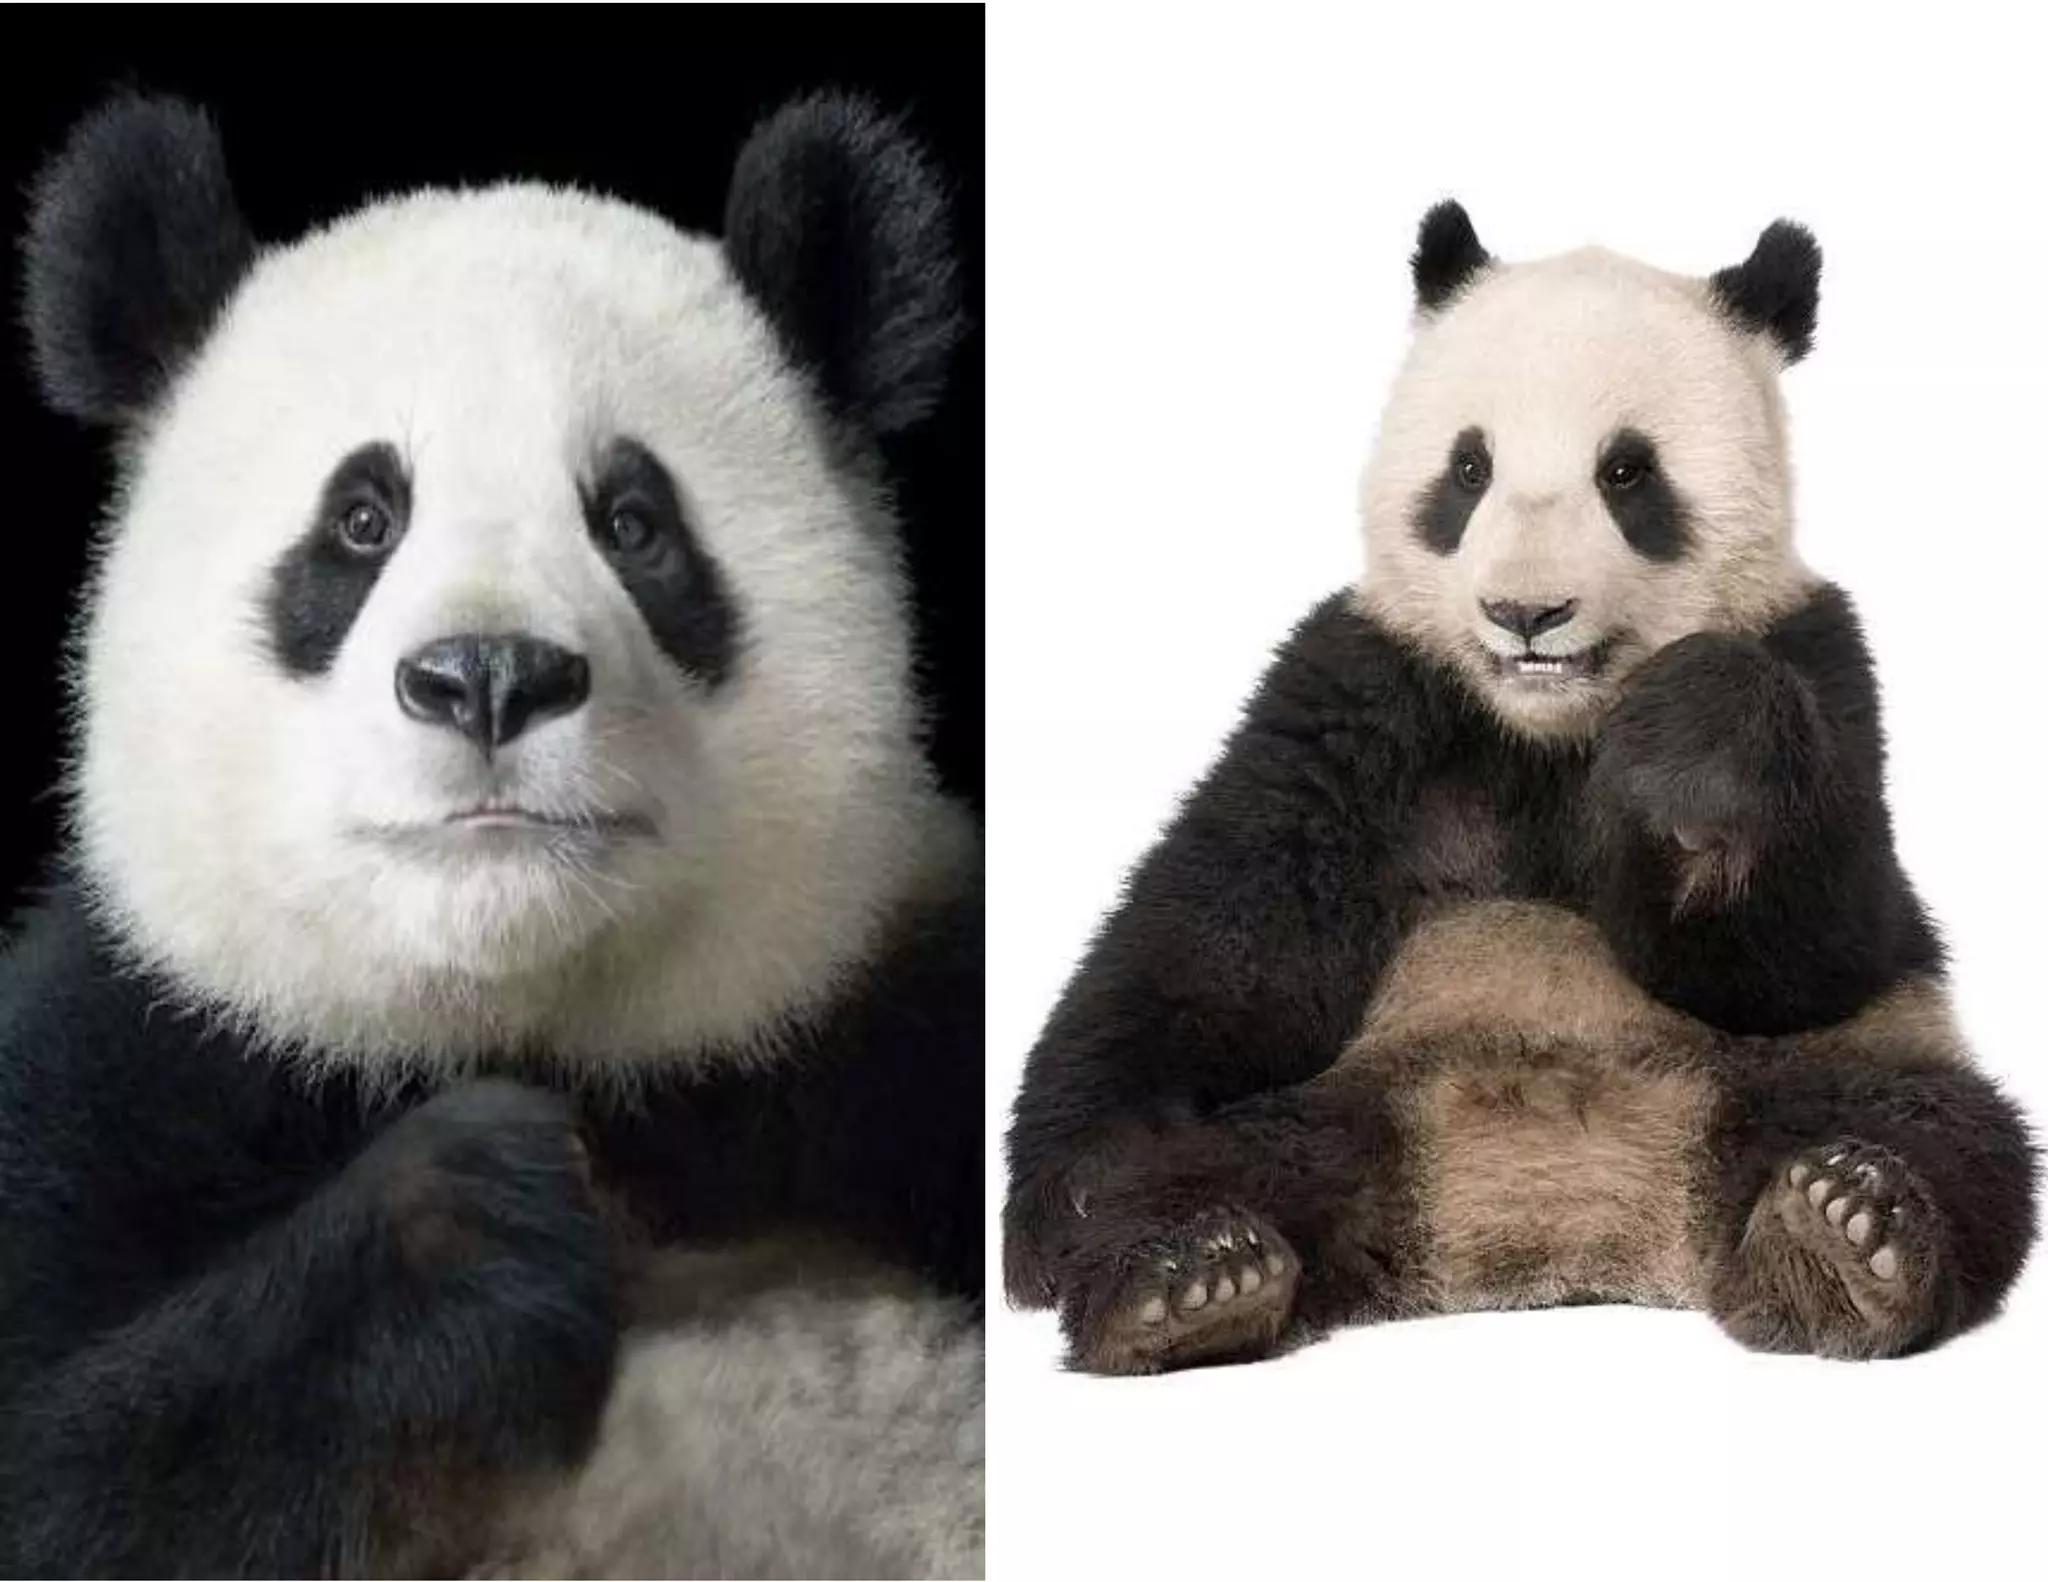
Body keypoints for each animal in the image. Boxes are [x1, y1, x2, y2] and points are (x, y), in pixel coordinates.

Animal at [0, 91, 982, 1578]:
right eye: (361, 520)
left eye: (634, 522)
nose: (491, 677)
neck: (527, 1018)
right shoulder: (124, 1060)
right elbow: (63, 1477)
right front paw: (478, 1208)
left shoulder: (891, 1012)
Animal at [1003, 201, 2039, 1375]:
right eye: (1468, 468)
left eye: (1627, 473)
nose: (1524, 612)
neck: (1546, 732)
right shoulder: (1359, 691)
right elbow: (1226, 923)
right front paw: (1070, 1193)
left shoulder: (1823, 669)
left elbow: (1809, 950)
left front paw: (1693, 743)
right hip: (1338, 1096)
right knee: (1219, 1162)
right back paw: (1185, 1274)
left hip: (1822, 1066)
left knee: (1940, 1129)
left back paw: (1840, 1234)